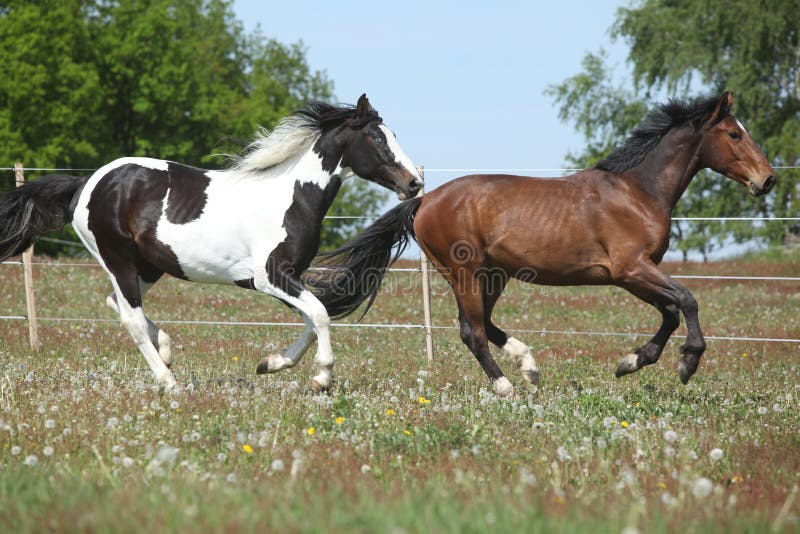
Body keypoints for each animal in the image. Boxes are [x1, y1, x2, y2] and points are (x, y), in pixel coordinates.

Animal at [0, 94, 423, 392]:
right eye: (376, 137)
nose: (414, 183)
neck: (290, 197)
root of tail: (85, 184)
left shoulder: (288, 277)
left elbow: (311, 318)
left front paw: (270, 364)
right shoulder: (269, 277)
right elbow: (320, 314)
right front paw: (322, 379)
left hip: (148, 266)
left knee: (117, 305)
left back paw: (167, 351)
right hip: (119, 260)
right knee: (131, 318)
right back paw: (169, 382)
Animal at [306, 92, 775, 397]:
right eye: (734, 134)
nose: (767, 180)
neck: (639, 192)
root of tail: (423, 199)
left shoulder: (636, 274)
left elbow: (671, 312)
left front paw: (632, 362)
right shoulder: (631, 269)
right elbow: (687, 301)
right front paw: (685, 364)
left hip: (494, 276)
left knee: (484, 325)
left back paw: (529, 367)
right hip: (466, 273)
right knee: (472, 331)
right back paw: (506, 385)